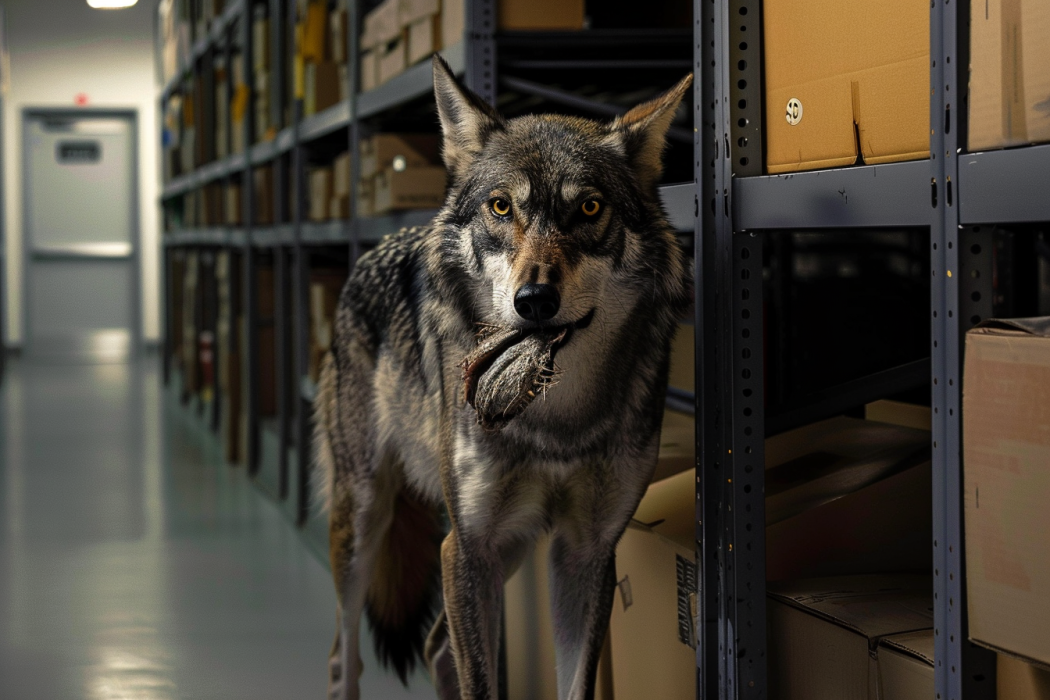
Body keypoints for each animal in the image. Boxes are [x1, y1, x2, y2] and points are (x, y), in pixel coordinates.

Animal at [313, 55, 692, 700]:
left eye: (589, 209)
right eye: (500, 208)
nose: (534, 300)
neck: (555, 418)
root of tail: (376, 247)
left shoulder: (585, 552)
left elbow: (574, 685)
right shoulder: (468, 547)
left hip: (506, 543)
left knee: (437, 648)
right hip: (367, 520)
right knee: (343, 657)